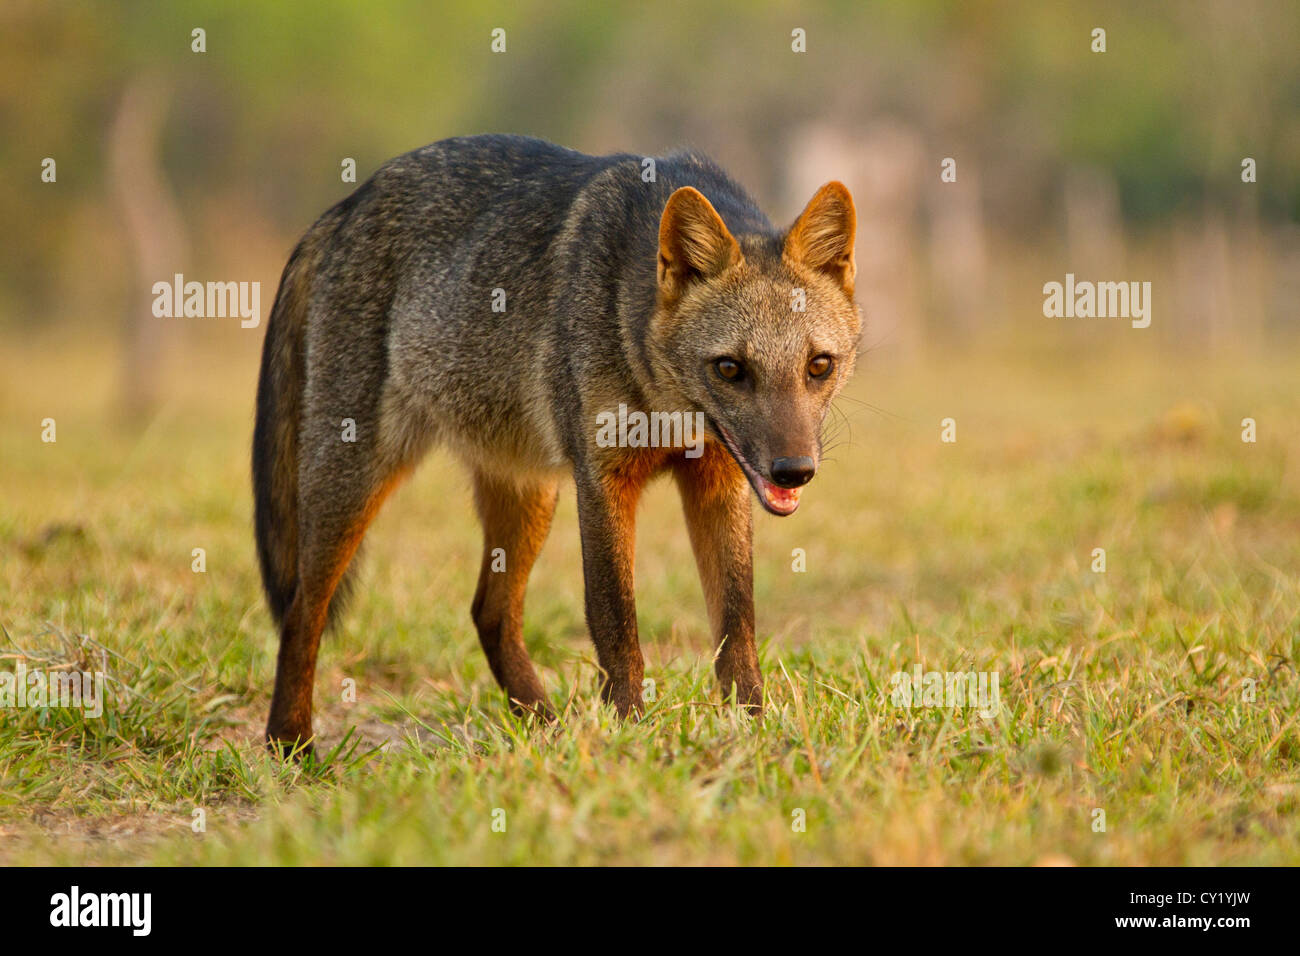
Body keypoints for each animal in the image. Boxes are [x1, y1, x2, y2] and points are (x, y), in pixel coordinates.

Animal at [253, 134, 860, 751]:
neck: (667, 412)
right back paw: (291, 745)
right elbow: (616, 624)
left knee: (489, 614)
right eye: (731, 368)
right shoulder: (601, 481)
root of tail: (345, 206)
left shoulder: (719, 483)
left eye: (818, 366)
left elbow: (738, 628)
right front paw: (629, 735)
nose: (793, 470)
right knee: (302, 611)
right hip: (353, 488)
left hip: (529, 499)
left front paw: (754, 729)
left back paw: (544, 729)